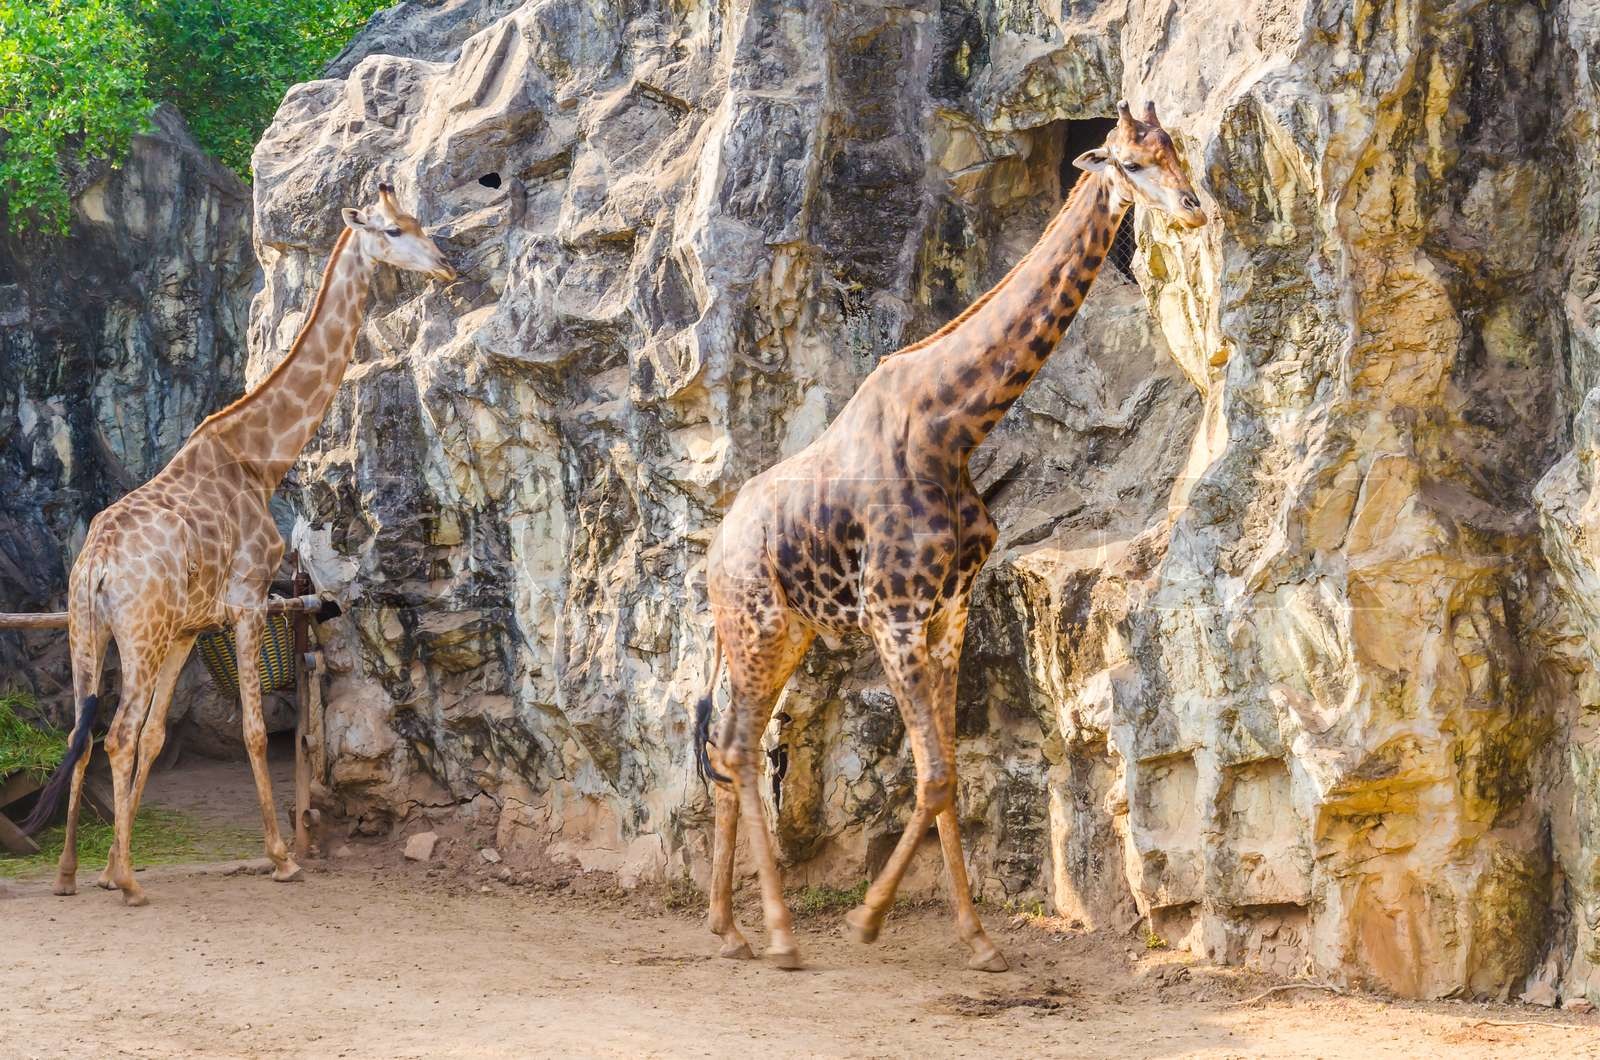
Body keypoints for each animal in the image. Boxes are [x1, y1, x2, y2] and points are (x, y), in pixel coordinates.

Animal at [23, 184, 456, 906]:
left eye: (418, 222)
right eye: (394, 230)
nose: (448, 266)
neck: (260, 457)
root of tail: (97, 564)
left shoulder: (188, 629)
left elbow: (158, 735)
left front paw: (109, 866)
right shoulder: (248, 601)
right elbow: (252, 729)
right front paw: (281, 857)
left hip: (91, 630)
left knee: (86, 736)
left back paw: (68, 875)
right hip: (137, 633)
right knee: (114, 735)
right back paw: (134, 885)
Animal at [695, 102, 1207, 971]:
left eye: (1176, 150)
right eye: (1131, 164)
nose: (1194, 209)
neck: (953, 428)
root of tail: (713, 553)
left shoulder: (948, 614)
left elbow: (946, 779)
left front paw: (977, 940)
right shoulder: (892, 615)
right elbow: (933, 772)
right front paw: (869, 921)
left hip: (781, 634)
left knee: (733, 748)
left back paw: (728, 929)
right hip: (759, 629)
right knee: (735, 751)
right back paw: (779, 933)